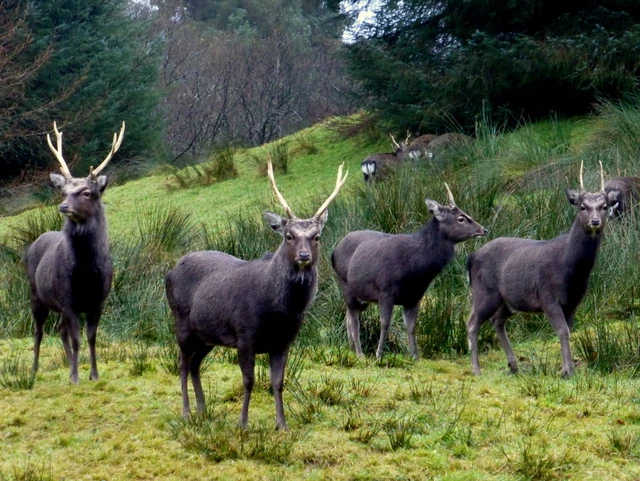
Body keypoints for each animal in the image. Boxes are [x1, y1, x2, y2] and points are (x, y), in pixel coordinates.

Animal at [24, 121, 124, 384]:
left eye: (87, 192)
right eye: (64, 191)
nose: (63, 206)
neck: (86, 272)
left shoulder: (98, 301)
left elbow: (91, 338)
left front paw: (93, 374)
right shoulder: (68, 299)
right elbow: (77, 339)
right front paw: (77, 378)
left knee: (60, 329)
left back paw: (69, 366)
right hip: (36, 294)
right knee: (38, 331)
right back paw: (34, 370)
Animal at [165, 160, 348, 430]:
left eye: (317, 236)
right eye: (289, 236)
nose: (304, 256)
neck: (277, 312)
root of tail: (170, 271)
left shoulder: (284, 341)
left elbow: (278, 382)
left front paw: (282, 424)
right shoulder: (244, 334)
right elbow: (249, 381)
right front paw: (242, 423)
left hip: (206, 334)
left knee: (196, 363)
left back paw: (203, 409)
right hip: (182, 322)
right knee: (183, 362)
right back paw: (187, 411)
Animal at [331, 184, 487, 359]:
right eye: (461, 218)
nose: (484, 229)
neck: (415, 271)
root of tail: (333, 252)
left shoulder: (415, 297)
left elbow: (411, 327)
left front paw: (415, 356)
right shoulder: (385, 291)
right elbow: (385, 323)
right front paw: (379, 354)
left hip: (362, 295)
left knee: (348, 316)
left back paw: (351, 348)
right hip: (345, 285)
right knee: (354, 320)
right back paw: (359, 353)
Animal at [466, 161, 620, 377]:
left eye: (604, 206)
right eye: (583, 206)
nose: (595, 221)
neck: (571, 271)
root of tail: (471, 258)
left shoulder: (573, 302)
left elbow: (568, 331)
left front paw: (568, 368)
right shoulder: (548, 297)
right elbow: (562, 331)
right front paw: (567, 370)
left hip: (508, 300)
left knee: (497, 320)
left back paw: (513, 365)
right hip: (485, 291)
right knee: (472, 323)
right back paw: (476, 369)